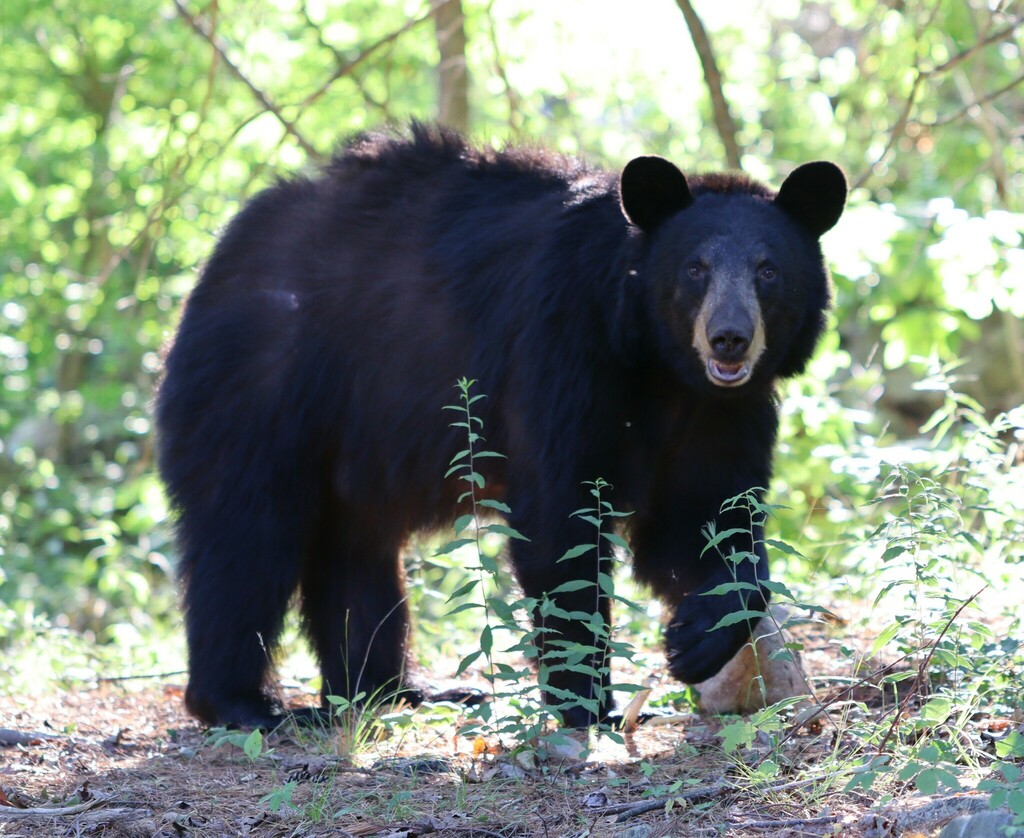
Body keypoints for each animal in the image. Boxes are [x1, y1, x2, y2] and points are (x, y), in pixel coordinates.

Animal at [156, 123, 846, 730]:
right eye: (695, 268)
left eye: (768, 269)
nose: (729, 337)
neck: (660, 365)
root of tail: (215, 258)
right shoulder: (561, 352)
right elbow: (562, 523)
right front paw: (587, 703)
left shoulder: (724, 412)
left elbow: (708, 520)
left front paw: (695, 639)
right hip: (262, 381)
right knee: (245, 534)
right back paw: (245, 705)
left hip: (355, 444)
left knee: (356, 551)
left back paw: (395, 690)